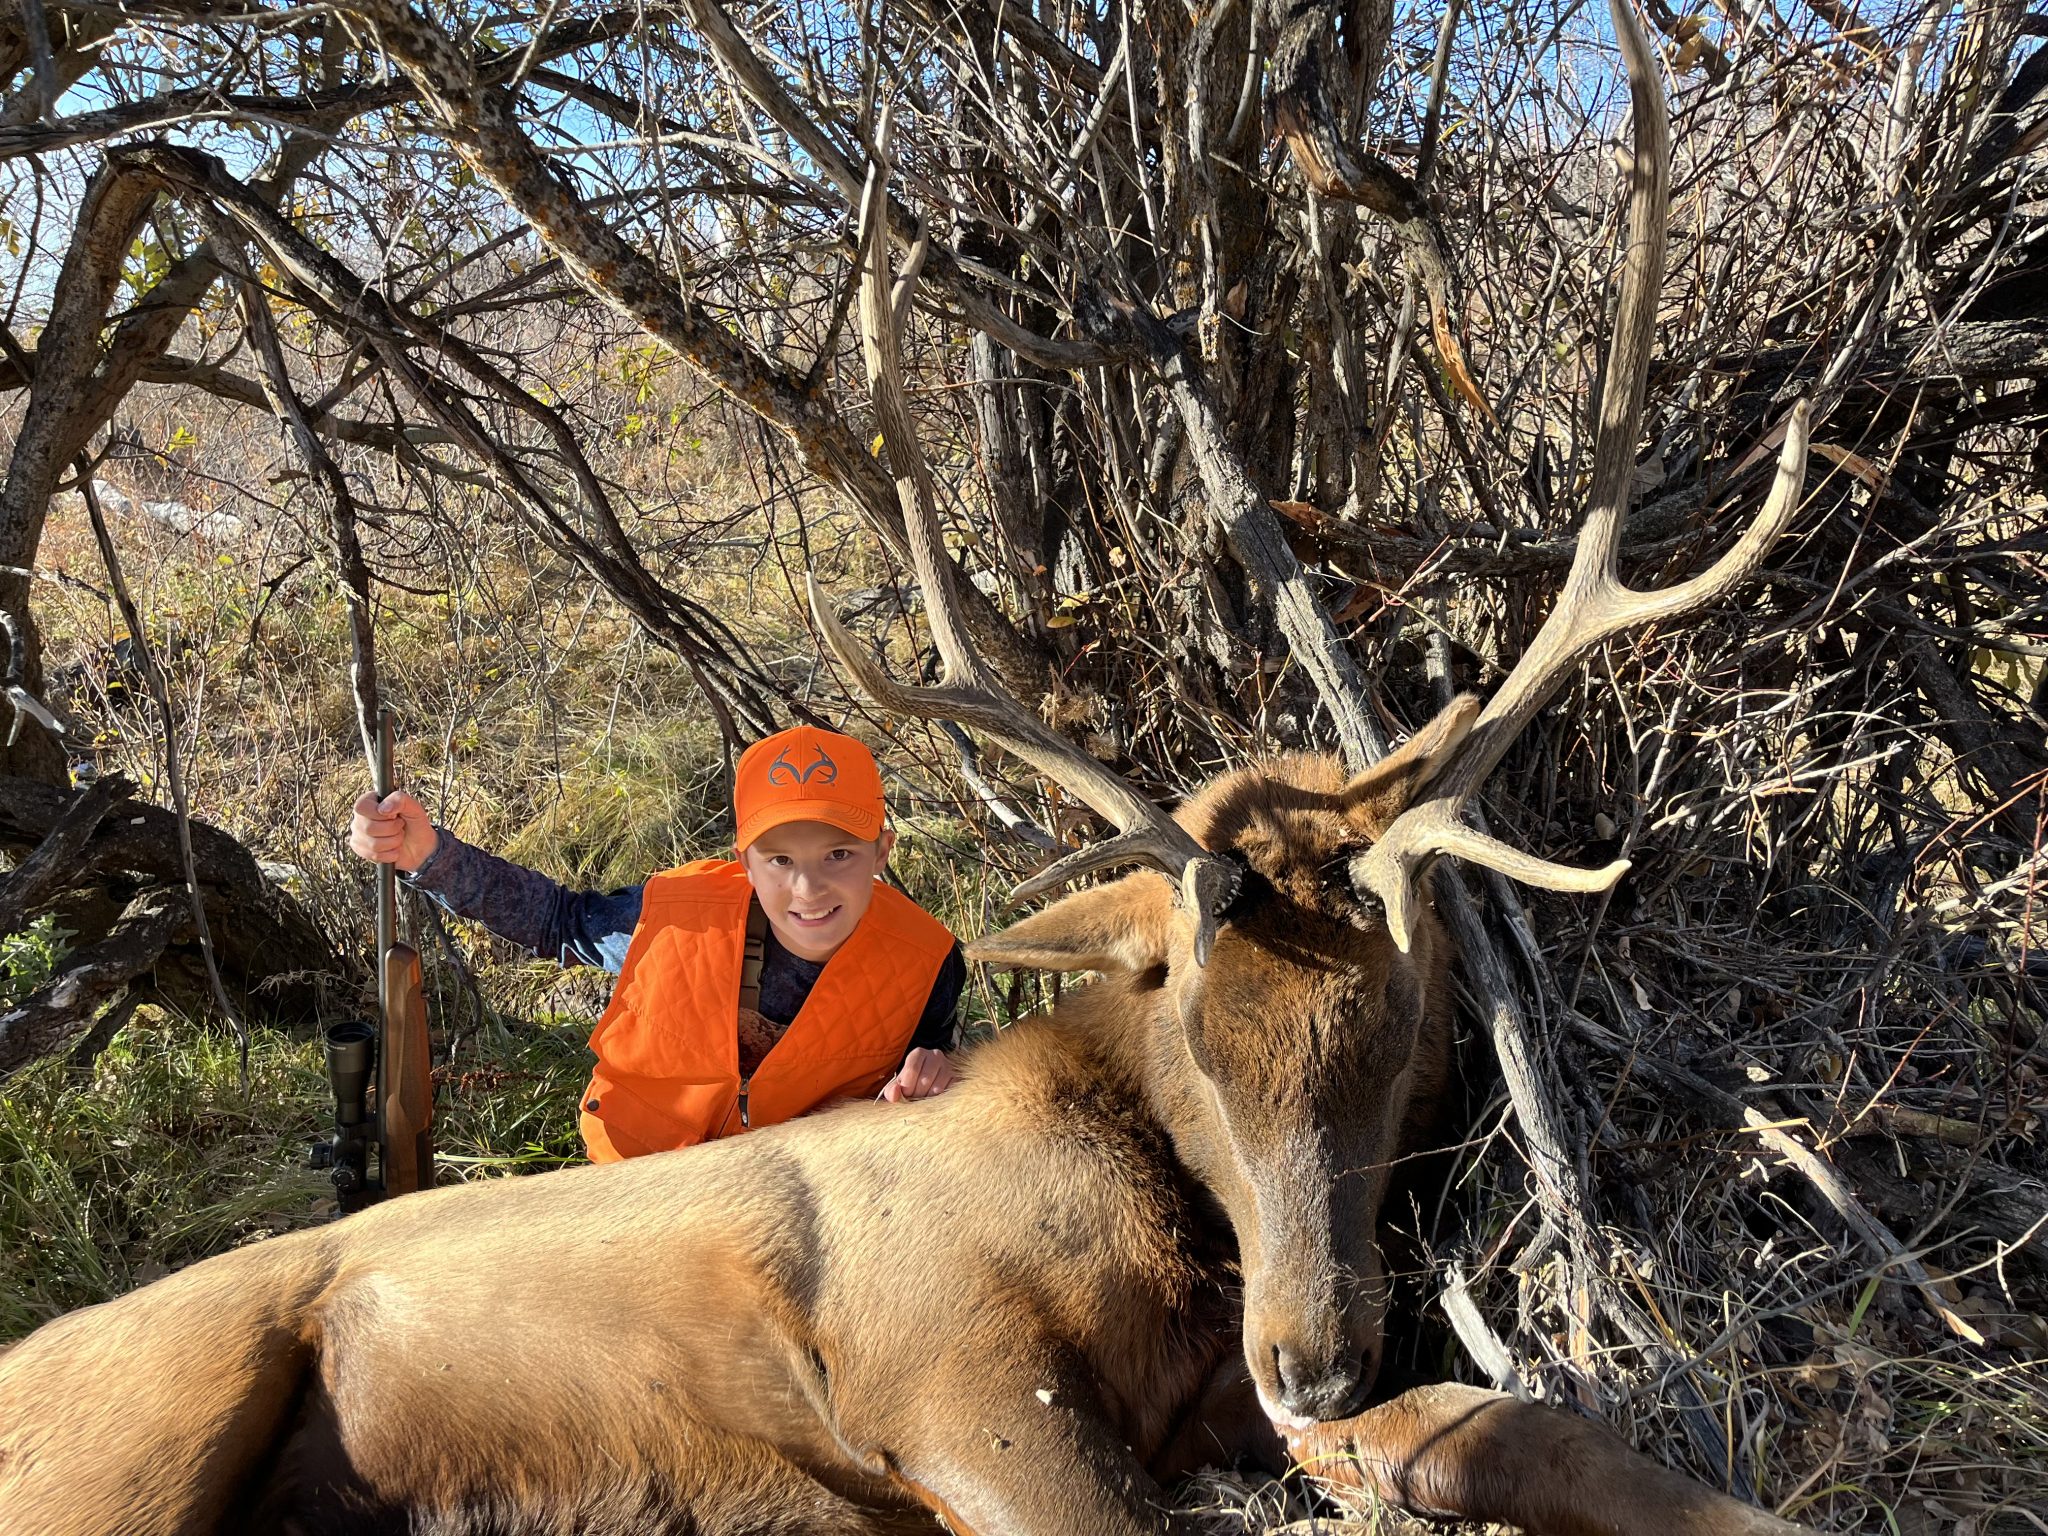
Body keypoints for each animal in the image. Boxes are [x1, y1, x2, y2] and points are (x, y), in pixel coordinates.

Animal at [0, 4, 1815, 1533]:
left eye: (1398, 1024)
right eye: (1190, 1029)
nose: (1308, 1357)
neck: (1159, 1245)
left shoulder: (1234, 1403)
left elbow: (1535, 1434)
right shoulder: (946, 1374)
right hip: (145, 1421)